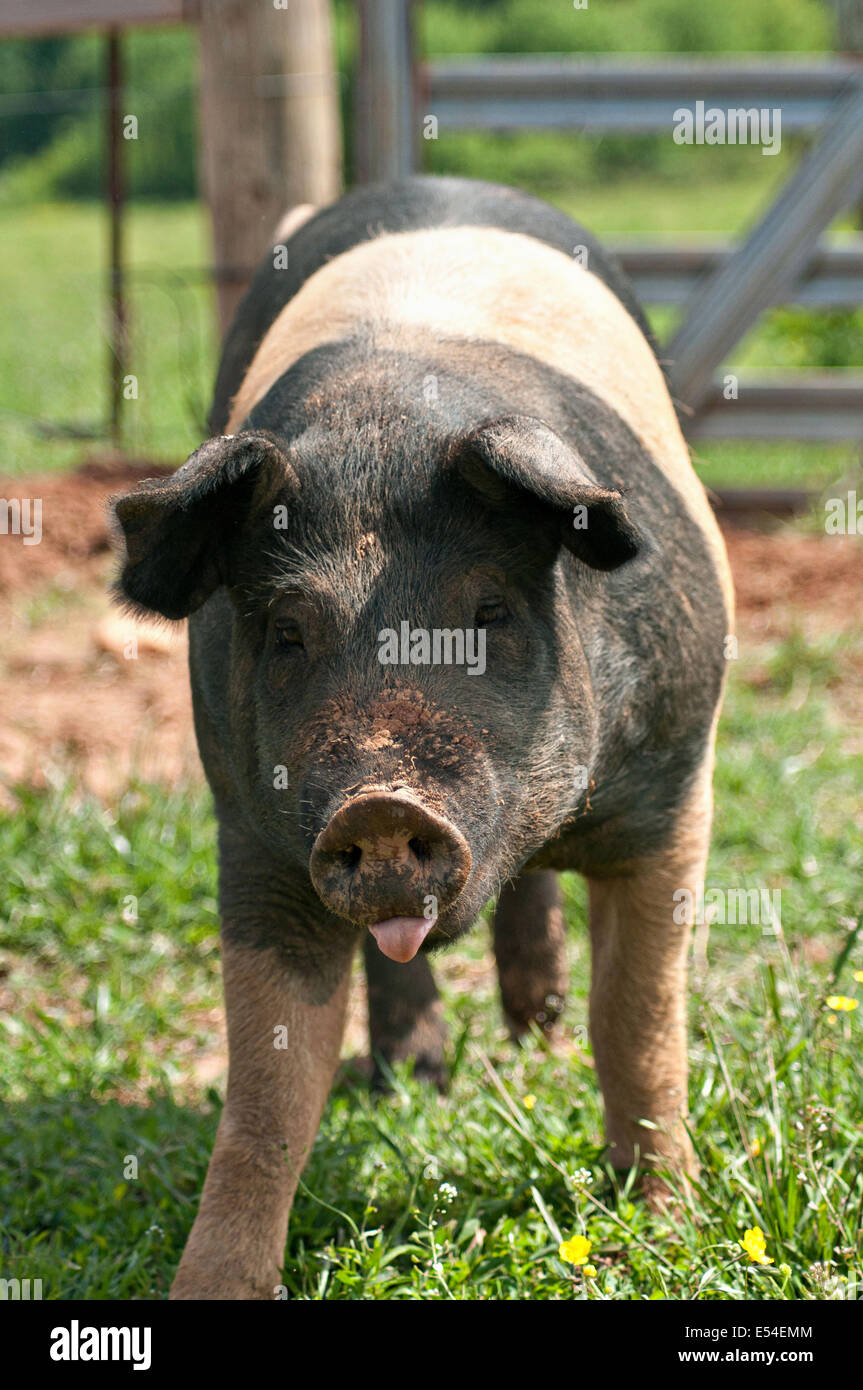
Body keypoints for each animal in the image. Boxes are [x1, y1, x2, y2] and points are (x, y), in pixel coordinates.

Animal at [111, 175, 733, 1300]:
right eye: (286, 632)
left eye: (489, 612)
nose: (380, 800)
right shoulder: (256, 833)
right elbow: (268, 1088)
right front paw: (210, 1287)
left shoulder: (673, 788)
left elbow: (638, 1023)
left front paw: (667, 1234)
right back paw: (413, 1079)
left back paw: (530, 1036)